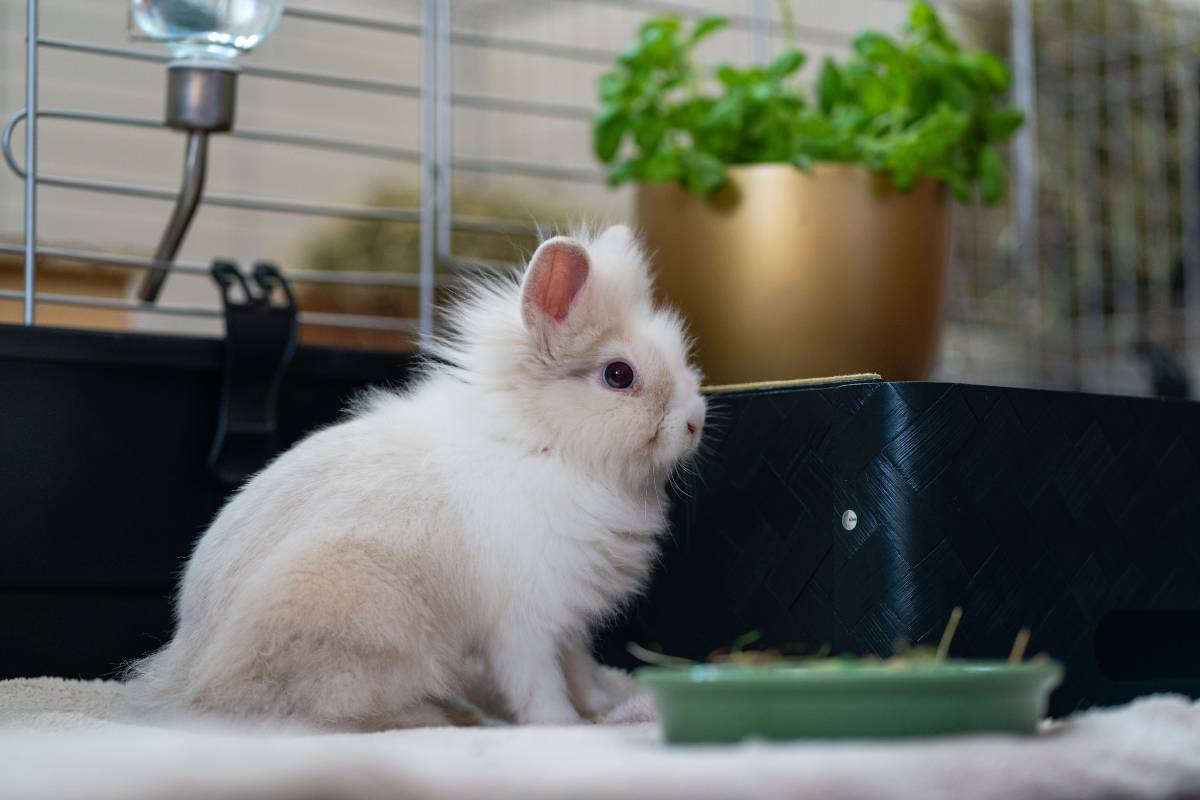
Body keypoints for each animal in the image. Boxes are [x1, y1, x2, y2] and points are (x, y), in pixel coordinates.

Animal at [125, 225, 707, 730]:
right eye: (618, 375)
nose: (695, 423)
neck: (549, 444)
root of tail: (196, 684)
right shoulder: (525, 622)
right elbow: (537, 684)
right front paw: (561, 727)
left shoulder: (572, 621)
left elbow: (579, 669)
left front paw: (601, 708)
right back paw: (443, 717)